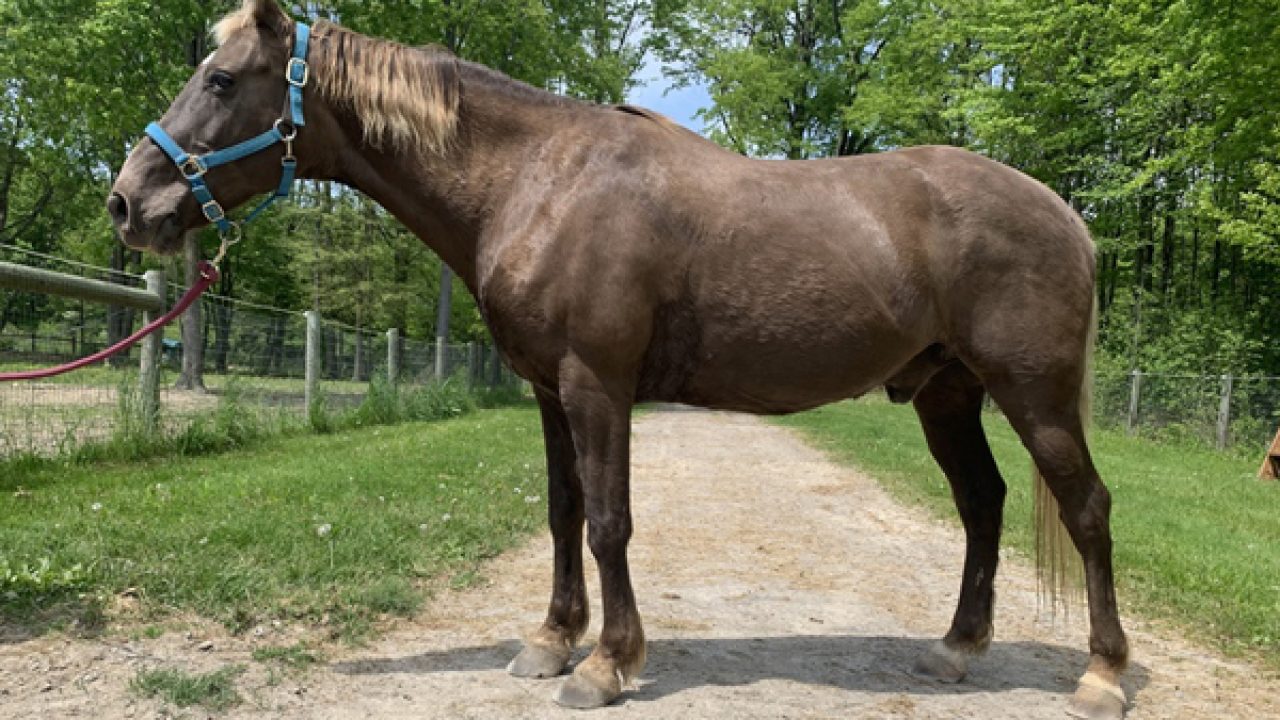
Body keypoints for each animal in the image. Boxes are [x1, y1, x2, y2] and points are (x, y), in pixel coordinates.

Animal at [107, 2, 1128, 718]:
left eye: (221, 79)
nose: (126, 202)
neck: (539, 180)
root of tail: (1064, 213)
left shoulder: (598, 386)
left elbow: (609, 523)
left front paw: (604, 665)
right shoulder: (549, 392)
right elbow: (565, 514)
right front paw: (553, 640)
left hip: (1033, 395)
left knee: (1086, 511)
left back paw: (1102, 677)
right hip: (948, 394)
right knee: (983, 504)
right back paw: (957, 649)